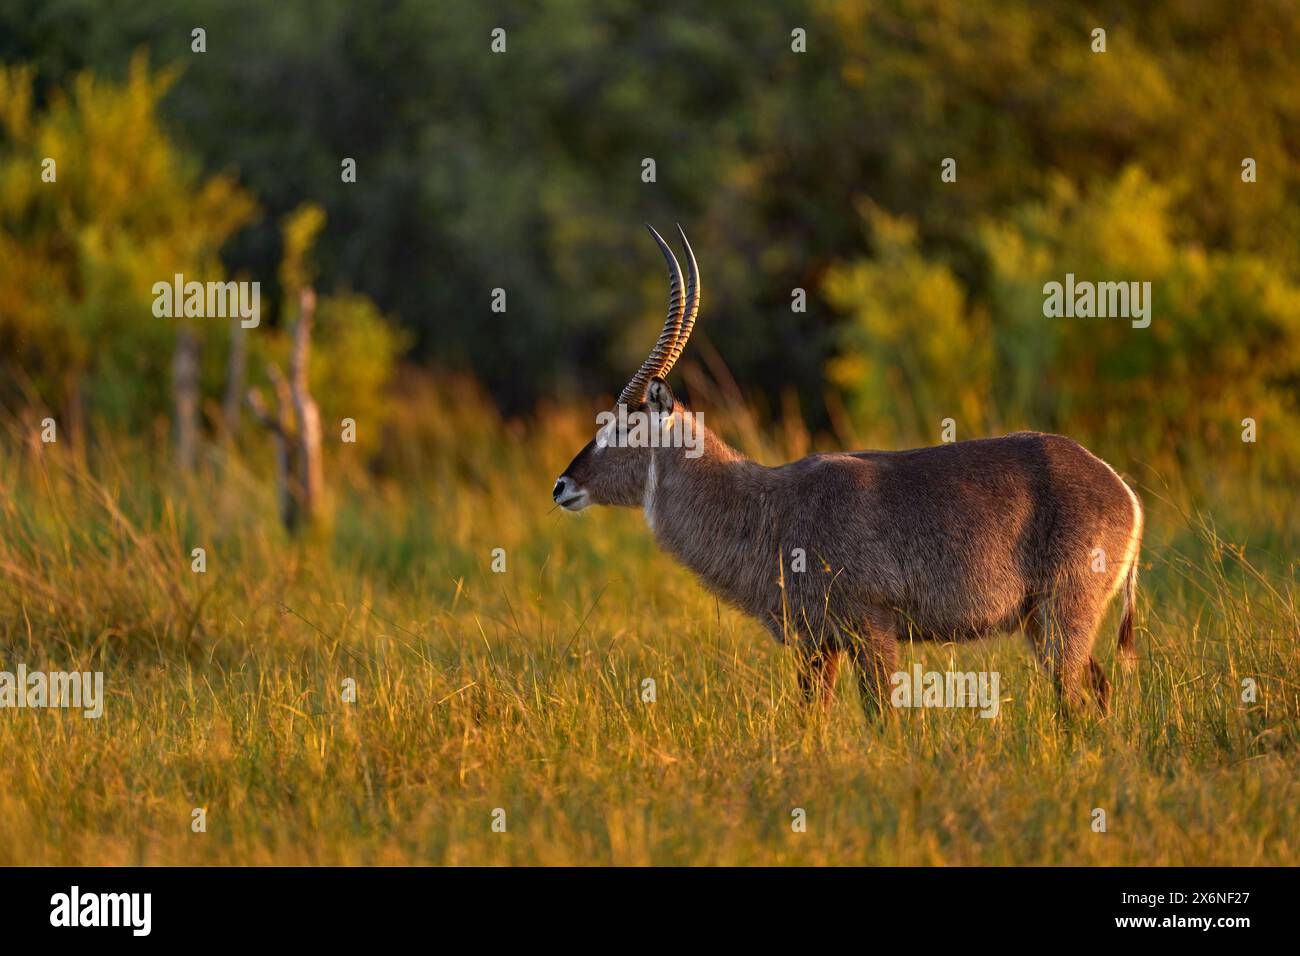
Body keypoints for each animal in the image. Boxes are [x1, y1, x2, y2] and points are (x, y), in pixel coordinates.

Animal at [554, 225, 1143, 718]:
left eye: (621, 425)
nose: (561, 485)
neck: (765, 507)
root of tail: (1122, 490)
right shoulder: (817, 646)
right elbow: (809, 720)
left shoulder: (871, 629)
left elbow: (883, 718)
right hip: (1041, 623)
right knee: (1097, 688)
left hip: (1063, 616)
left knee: (1075, 697)